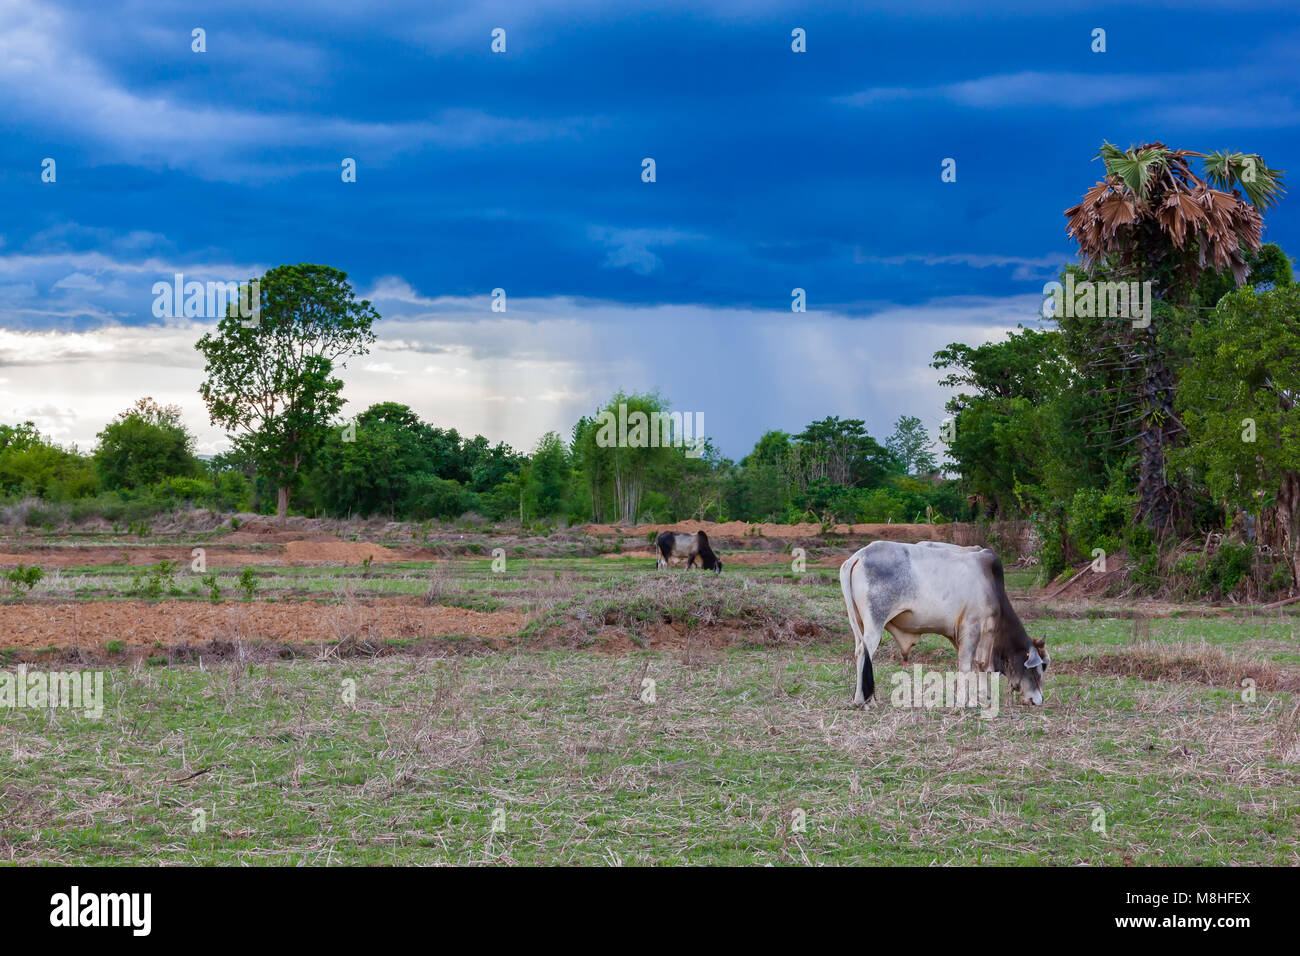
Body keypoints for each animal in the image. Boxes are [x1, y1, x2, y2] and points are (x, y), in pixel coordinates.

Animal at [839, 540, 1047, 707]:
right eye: (1036, 672)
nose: (1039, 700)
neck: (992, 587)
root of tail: (858, 556)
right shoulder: (971, 628)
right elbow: (966, 666)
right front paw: (965, 702)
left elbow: (978, 667)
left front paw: (981, 698)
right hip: (875, 624)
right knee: (864, 653)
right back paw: (865, 701)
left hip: (859, 624)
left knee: (859, 652)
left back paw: (864, 699)